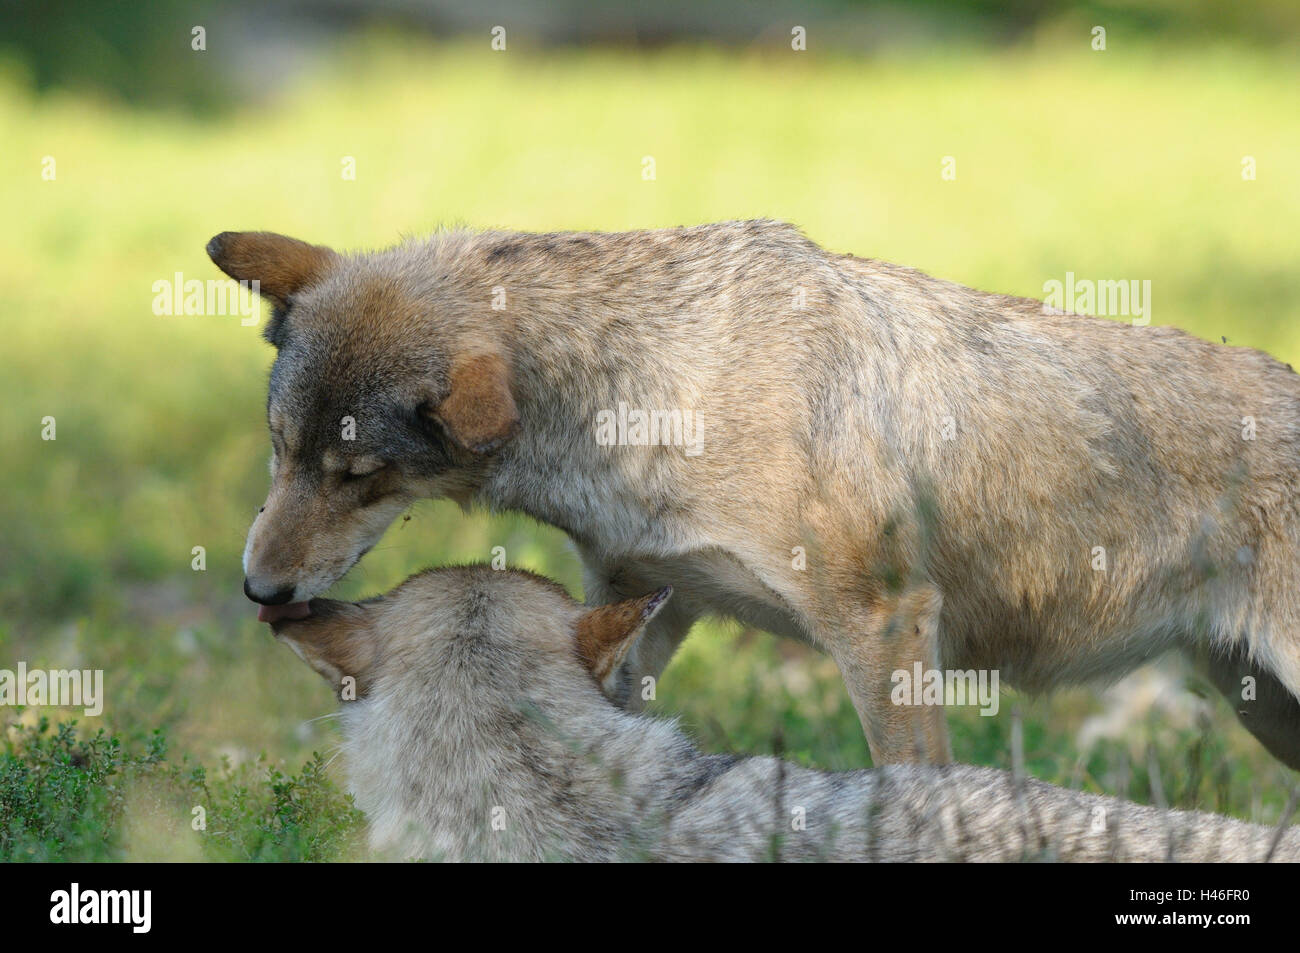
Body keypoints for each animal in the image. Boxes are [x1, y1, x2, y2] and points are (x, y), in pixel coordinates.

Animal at [209, 221, 1300, 767]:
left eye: (359, 479)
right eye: (279, 451)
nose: (259, 591)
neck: (651, 391)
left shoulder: (884, 625)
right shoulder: (639, 608)